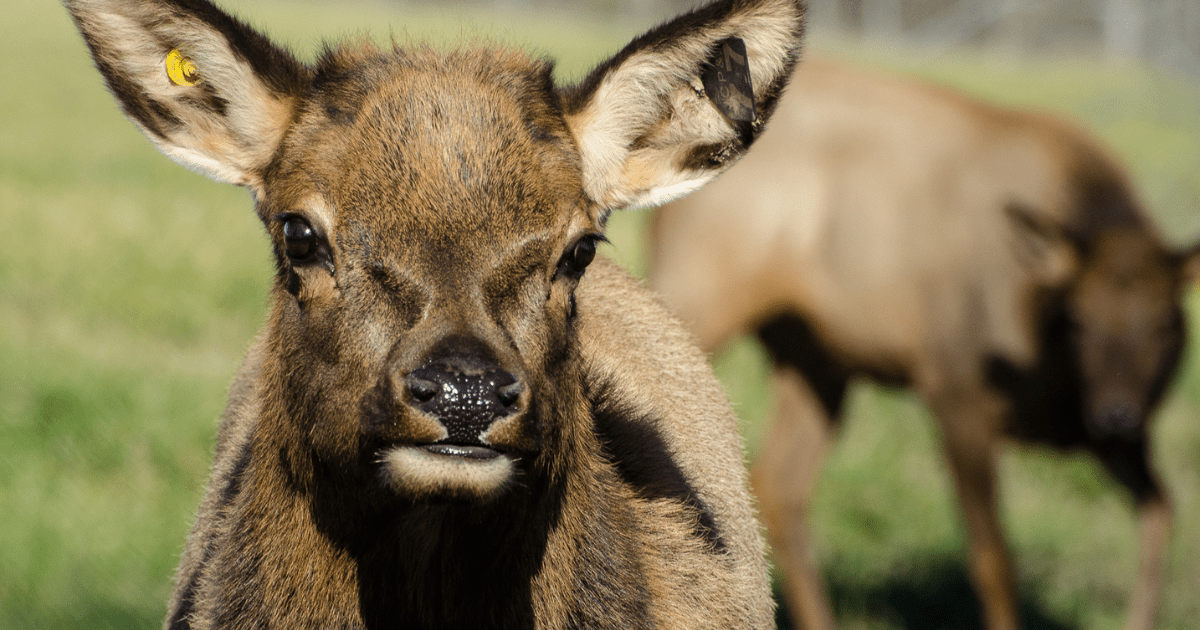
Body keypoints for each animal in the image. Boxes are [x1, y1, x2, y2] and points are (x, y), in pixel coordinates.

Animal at [650, 57, 1199, 630]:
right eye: (1079, 320)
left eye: (1168, 324)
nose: (1116, 416)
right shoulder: (955, 388)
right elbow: (993, 559)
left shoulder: (1113, 434)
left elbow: (1162, 511)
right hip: (702, 287)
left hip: (816, 356)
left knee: (779, 481)